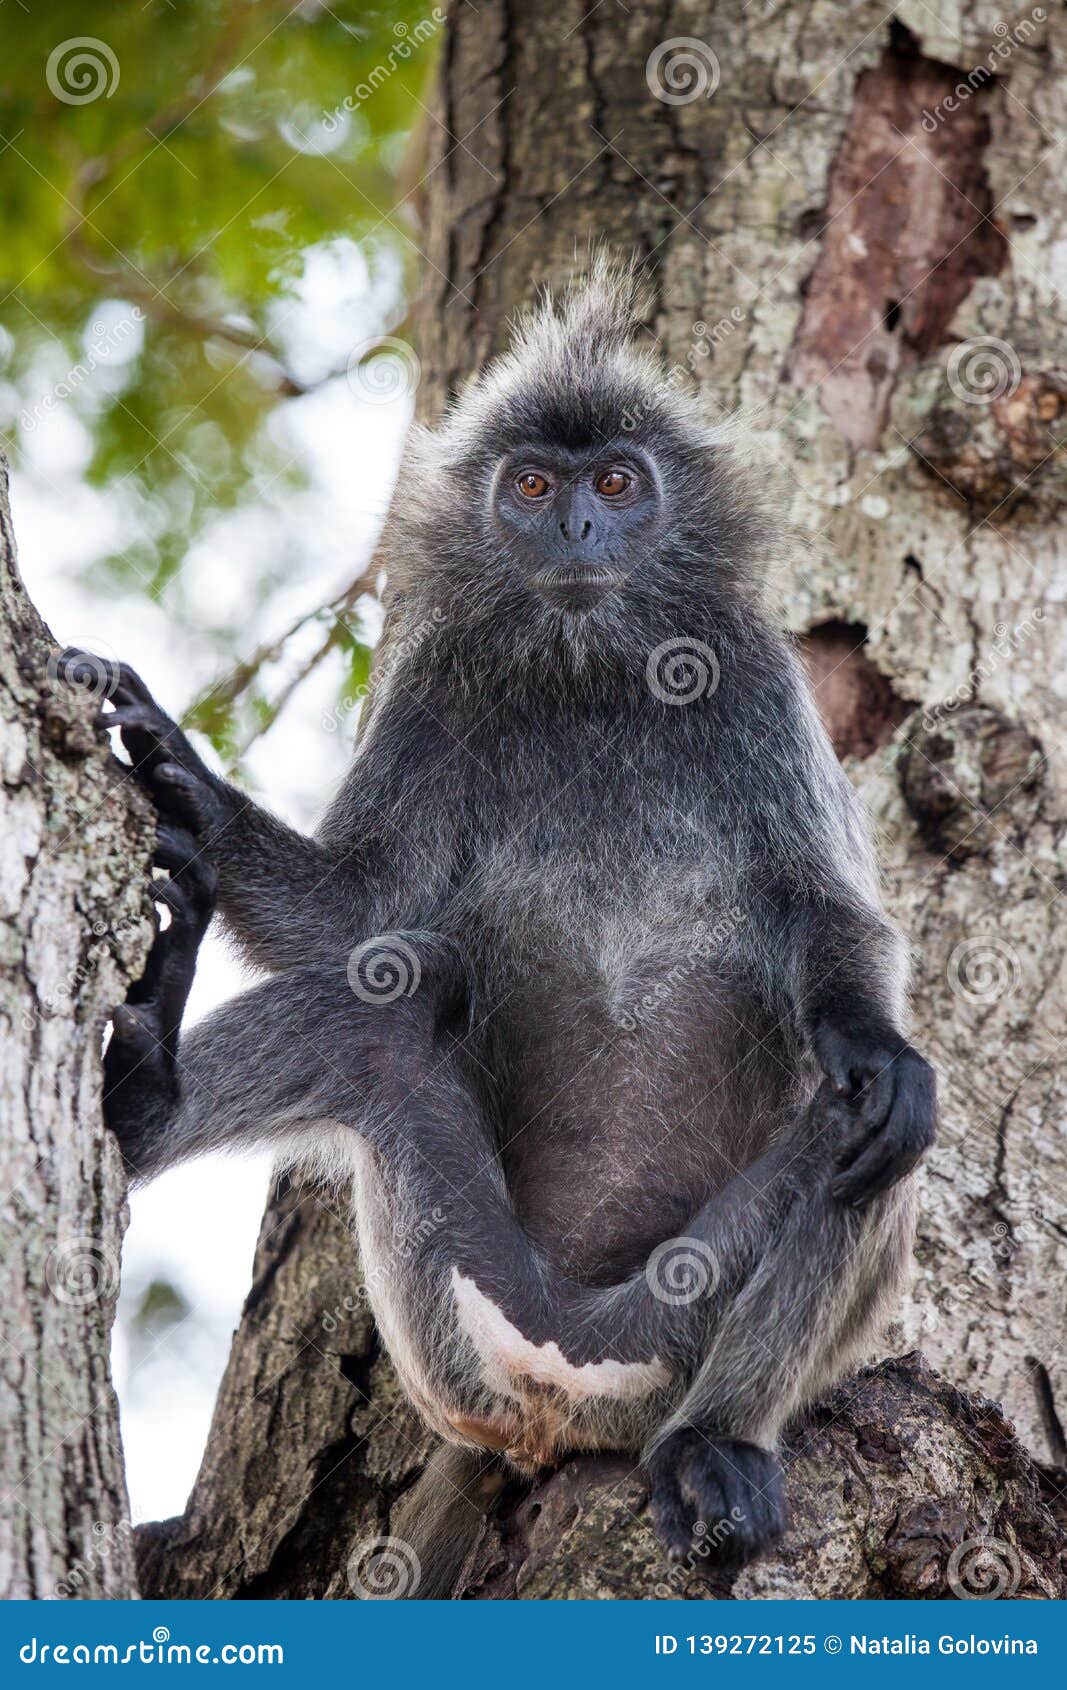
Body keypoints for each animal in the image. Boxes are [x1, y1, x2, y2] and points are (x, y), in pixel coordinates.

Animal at [60, 262, 935, 1595]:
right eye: (531, 487)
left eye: (614, 483)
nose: (573, 530)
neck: (595, 673)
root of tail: (556, 1386)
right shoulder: (443, 676)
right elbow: (364, 916)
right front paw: (174, 772)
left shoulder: (751, 675)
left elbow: (834, 923)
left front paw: (878, 1048)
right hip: (459, 1303)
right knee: (387, 1006)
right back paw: (148, 1095)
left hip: (660, 1329)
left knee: (866, 1128)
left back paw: (719, 1440)